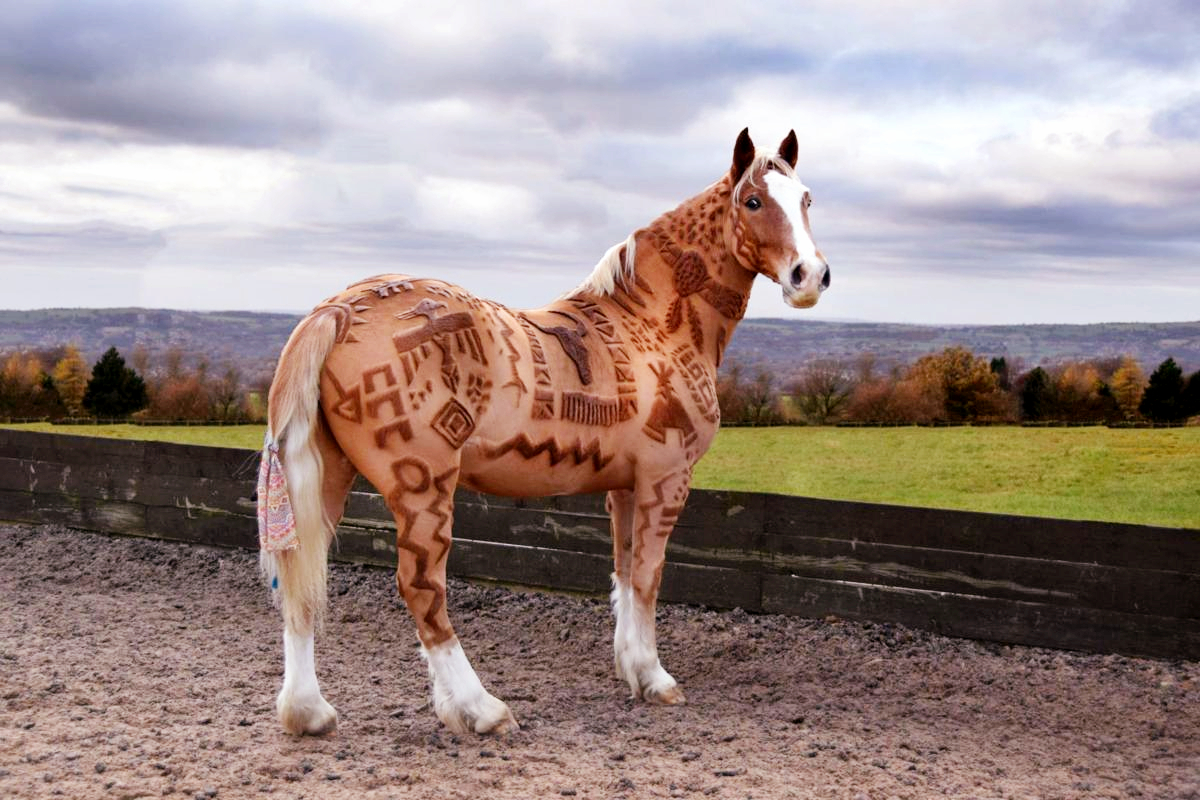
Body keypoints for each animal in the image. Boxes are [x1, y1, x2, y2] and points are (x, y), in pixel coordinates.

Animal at [258, 128, 830, 736]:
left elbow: (624, 573)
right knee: (422, 590)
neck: (650, 325)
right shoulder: (665, 480)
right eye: (754, 201)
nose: (810, 276)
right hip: (424, 489)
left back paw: (309, 710)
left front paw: (632, 669)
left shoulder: (624, 488)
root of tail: (339, 311)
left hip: (328, 481)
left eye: (806, 199)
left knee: (301, 584)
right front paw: (656, 679)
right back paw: (480, 707)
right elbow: (649, 577)